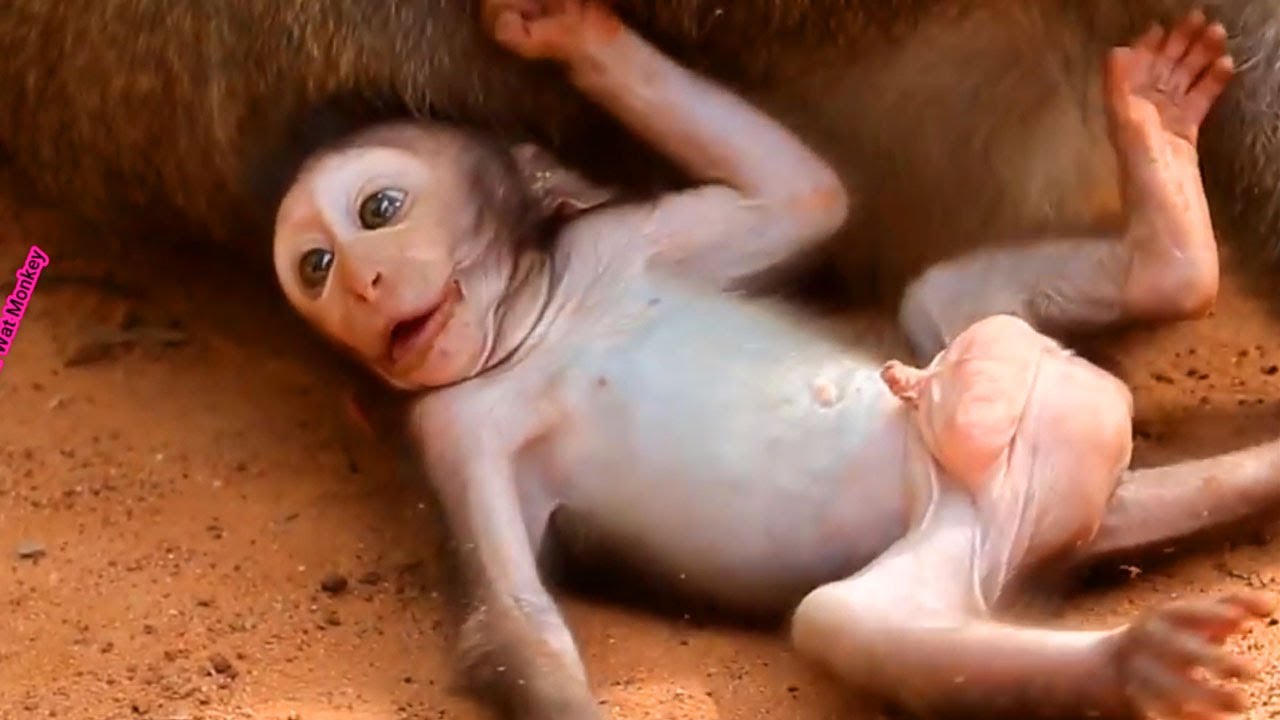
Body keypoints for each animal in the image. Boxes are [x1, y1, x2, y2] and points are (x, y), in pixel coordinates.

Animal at [269, 3, 1280, 719]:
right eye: (312, 266)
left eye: (378, 211)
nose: (358, 286)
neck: (536, 328)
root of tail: (1100, 504)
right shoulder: (452, 427)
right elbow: (517, 622)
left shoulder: (627, 243)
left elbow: (806, 194)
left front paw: (563, 31)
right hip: (975, 523)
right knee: (853, 621)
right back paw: (1130, 662)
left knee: (942, 298)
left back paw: (1158, 176)